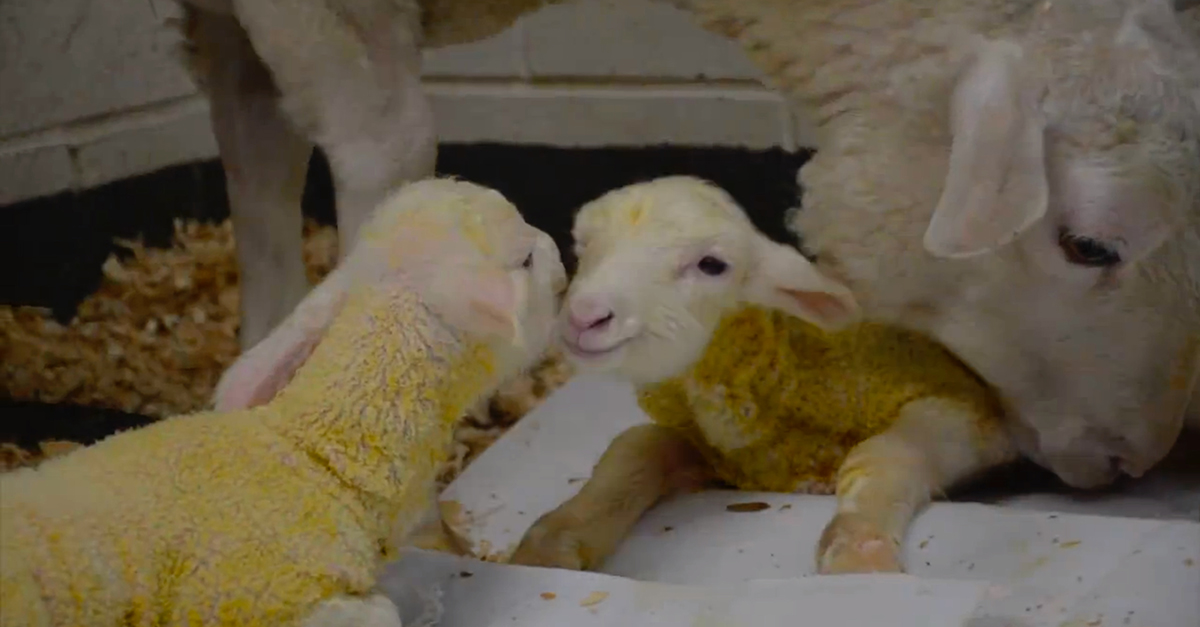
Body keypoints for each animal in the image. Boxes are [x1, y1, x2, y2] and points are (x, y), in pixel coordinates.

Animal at [507, 176, 1011, 575]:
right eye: (582, 246)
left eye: (712, 265)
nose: (585, 316)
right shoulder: (716, 457)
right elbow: (634, 449)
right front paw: (550, 544)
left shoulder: (960, 406)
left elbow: (882, 453)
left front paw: (858, 551)